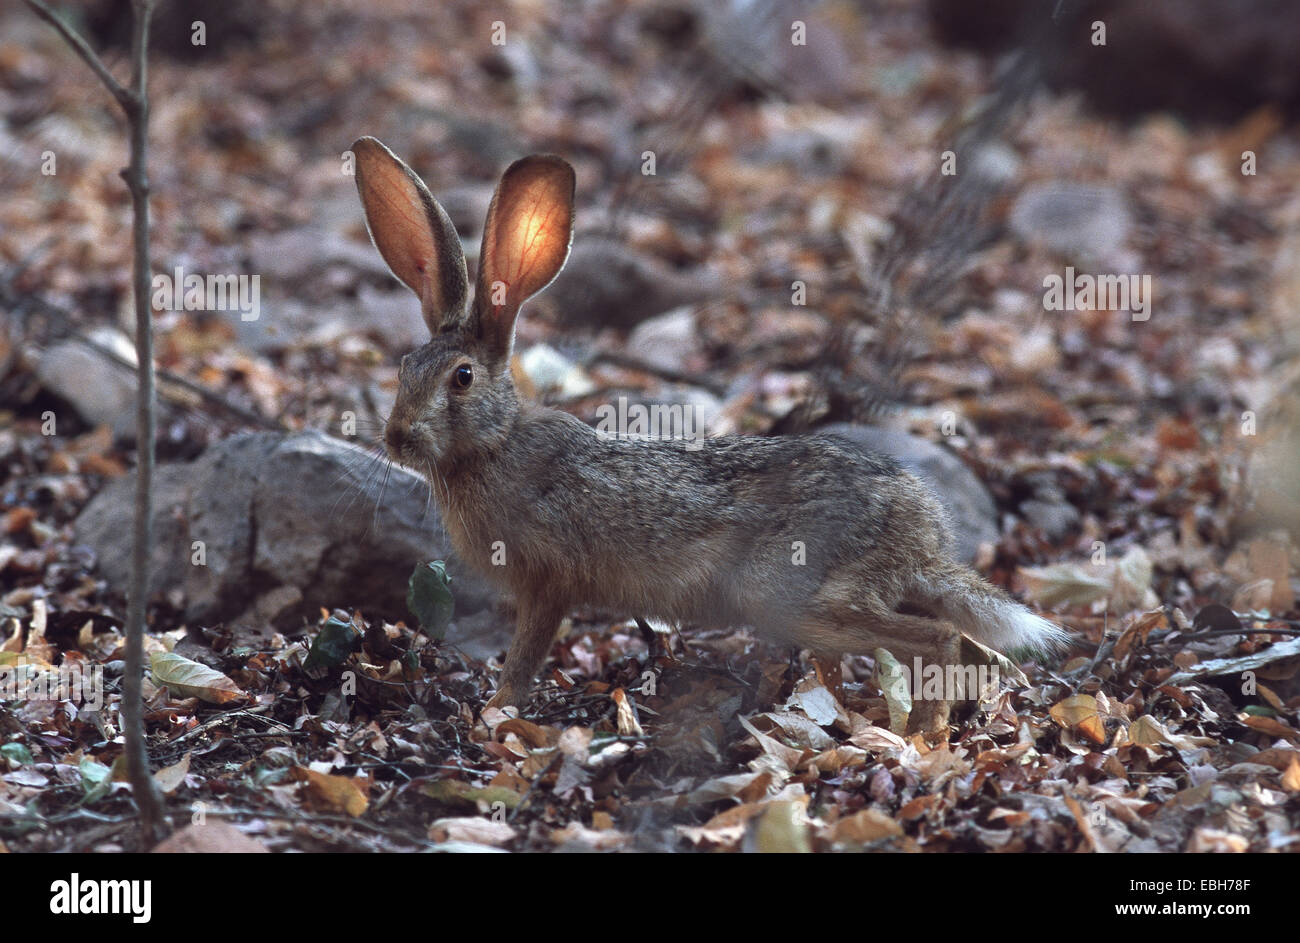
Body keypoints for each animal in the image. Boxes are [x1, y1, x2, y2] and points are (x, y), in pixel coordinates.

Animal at [350, 136, 1068, 735]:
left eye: (462, 377)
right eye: (404, 368)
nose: (397, 437)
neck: (493, 444)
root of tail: (921, 532)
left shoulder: (549, 584)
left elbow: (526, 655)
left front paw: (496, 710)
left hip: (799, 596)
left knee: (937, 638)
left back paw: (924, 731)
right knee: (964, 641)